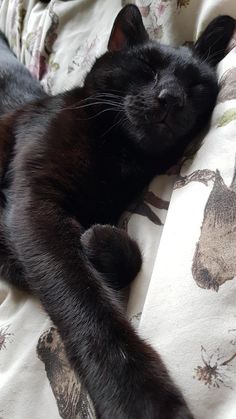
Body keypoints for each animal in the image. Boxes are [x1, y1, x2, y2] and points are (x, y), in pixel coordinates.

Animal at [0, 4, 234, 419]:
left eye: (195, 84)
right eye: (145, 67)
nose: (170, 97)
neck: (119, 154)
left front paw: (101, 244)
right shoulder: (33, 202)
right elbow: (79, 293)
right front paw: (138, 396)